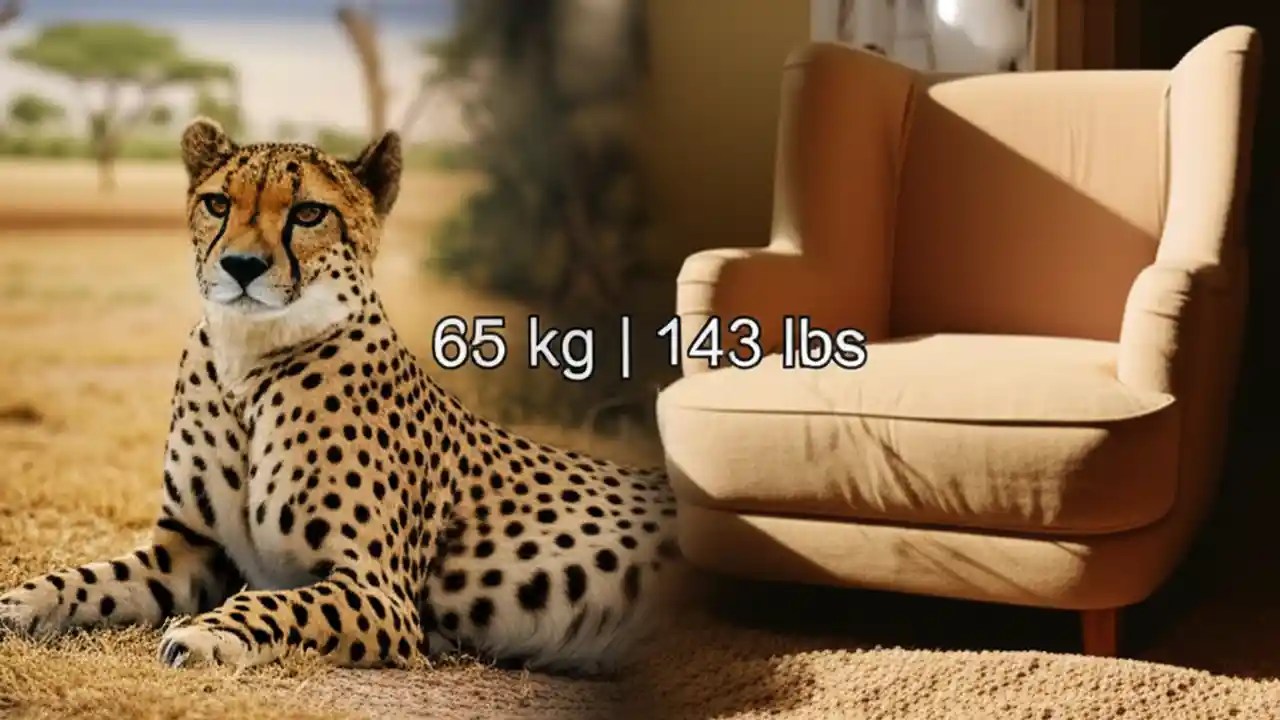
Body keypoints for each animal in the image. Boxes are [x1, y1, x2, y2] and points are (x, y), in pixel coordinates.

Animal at [0, 117, 681, 675]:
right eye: (217, 203)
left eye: (308, 213)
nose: (240, 266)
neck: (248, 364)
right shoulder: (186, 550)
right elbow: (91, 577)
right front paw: (20, 600)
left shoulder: (380, 595)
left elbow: (277, 603)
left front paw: (205, 635)